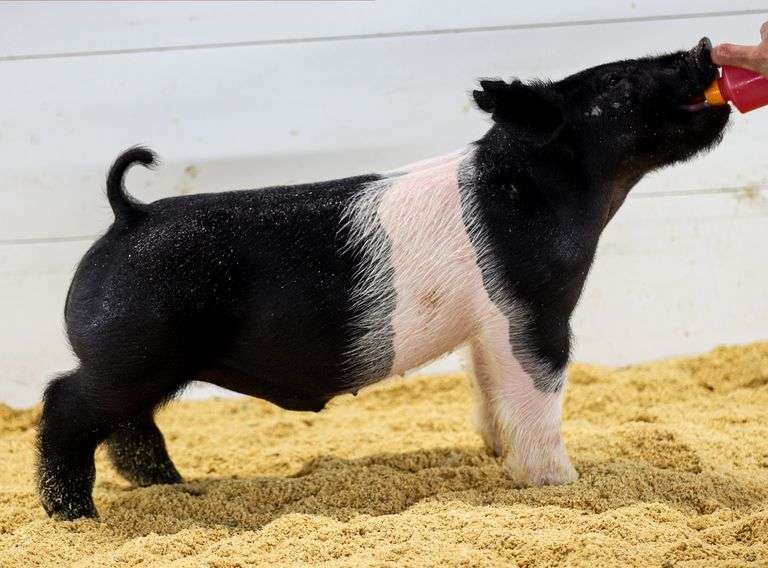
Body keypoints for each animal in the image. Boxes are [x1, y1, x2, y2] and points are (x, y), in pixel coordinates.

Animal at [38, 38, 729, 519]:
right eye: (616, 81)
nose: (703, 47)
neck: (544, 192)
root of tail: (128, 214)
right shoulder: (535, 311)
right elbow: (540, 393)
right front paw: (559, 484)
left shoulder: (487, 328)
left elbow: (489, 389)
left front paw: (495, 455)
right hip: (129, 351)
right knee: (64, 404)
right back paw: (76, 516)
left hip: (144, 361)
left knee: (128, 424)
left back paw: (174, 486)